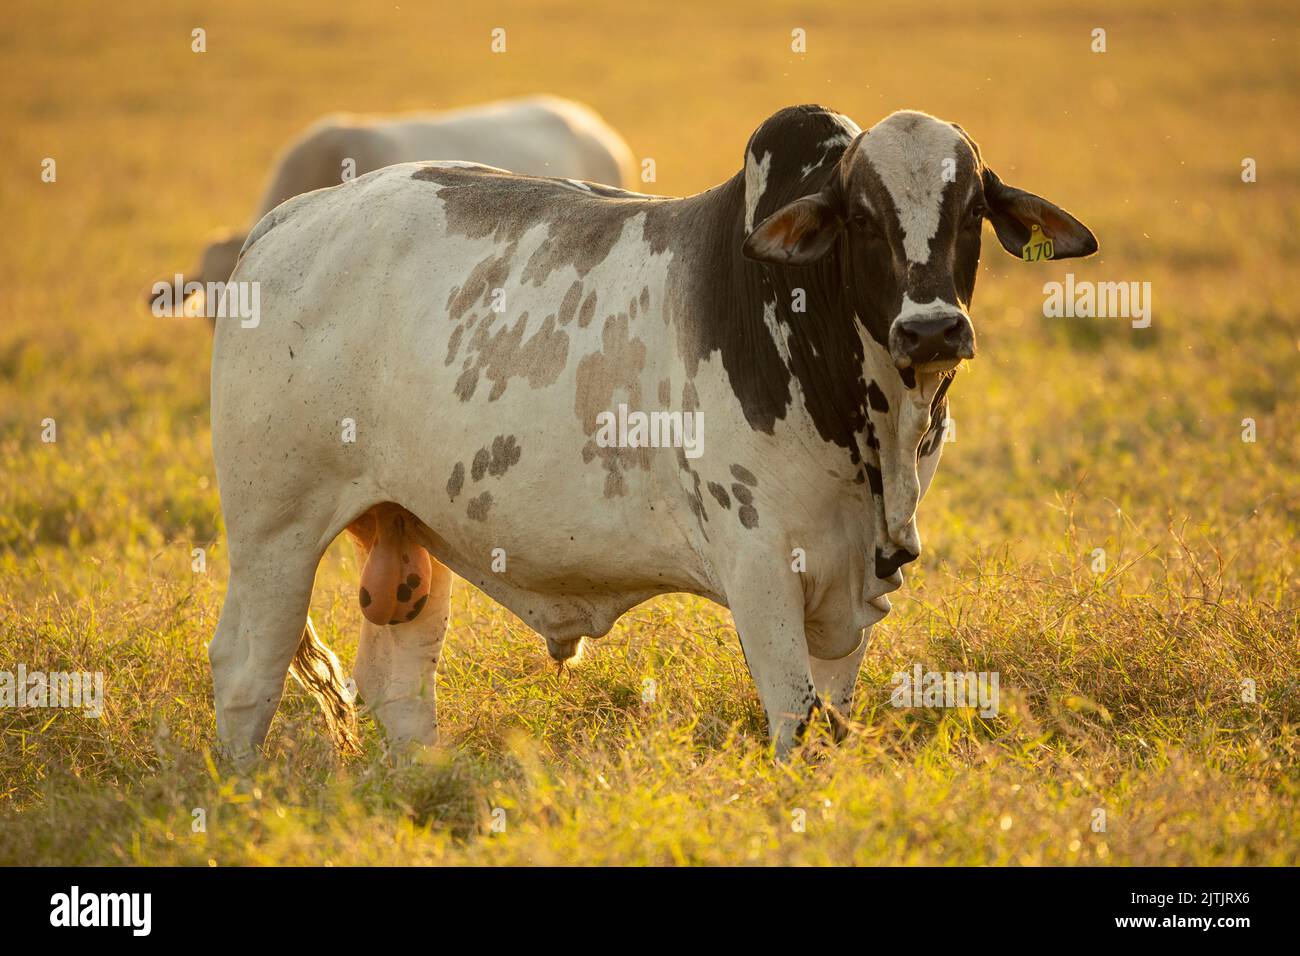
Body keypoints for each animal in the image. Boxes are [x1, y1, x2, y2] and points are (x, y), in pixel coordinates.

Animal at [208, 105, 1096, 766]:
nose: (932, 328)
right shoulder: (760, 568)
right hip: (273, 534)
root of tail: (289, 220)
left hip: (405, 525)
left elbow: (835, 723)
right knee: (246, 671)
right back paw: (238, 791)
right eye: (862, 219)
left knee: (397, 678)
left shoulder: (857, 584)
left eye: (972, 212)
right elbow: (796, 722)